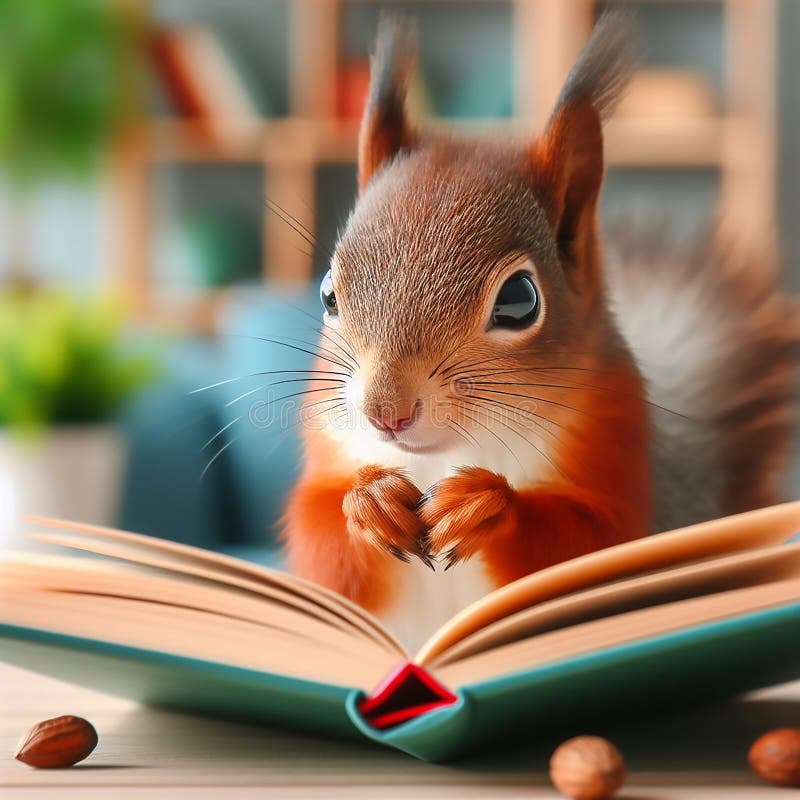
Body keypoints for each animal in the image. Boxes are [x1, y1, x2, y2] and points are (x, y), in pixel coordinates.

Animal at [283, 13, 798, 649]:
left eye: (519, 300)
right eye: (328, 292)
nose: (386, 413)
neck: (445, 454)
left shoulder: (615, 442)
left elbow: (591, 547)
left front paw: (485, 506)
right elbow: (320, 553)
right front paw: (370, 502)